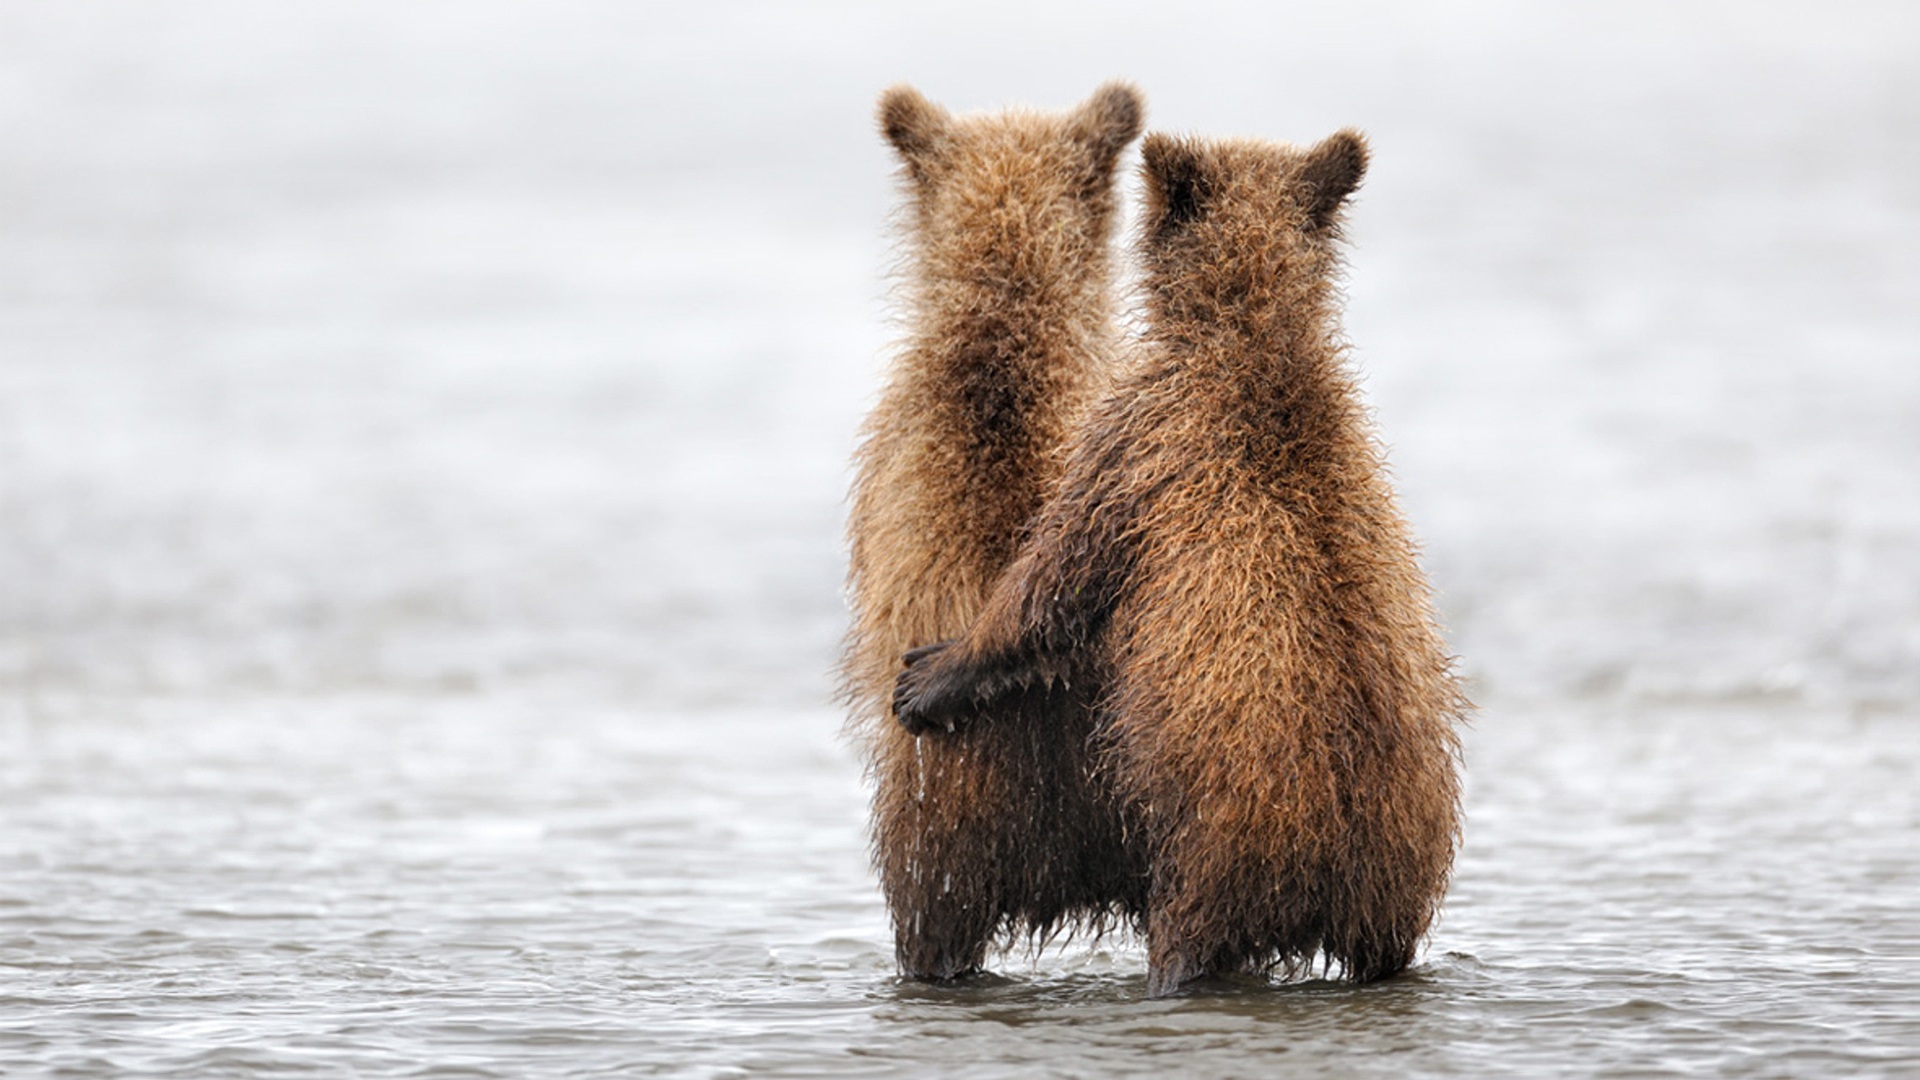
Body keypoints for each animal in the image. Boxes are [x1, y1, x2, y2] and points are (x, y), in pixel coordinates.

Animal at [893, 130, 1468, 997]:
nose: (918, 679)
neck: (1251, 336)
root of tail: (1346, 854)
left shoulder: (1137, 440)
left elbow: (1055, 582)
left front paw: (931, 672)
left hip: (1216, 843)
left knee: (1187, 938)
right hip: (1398, 877)